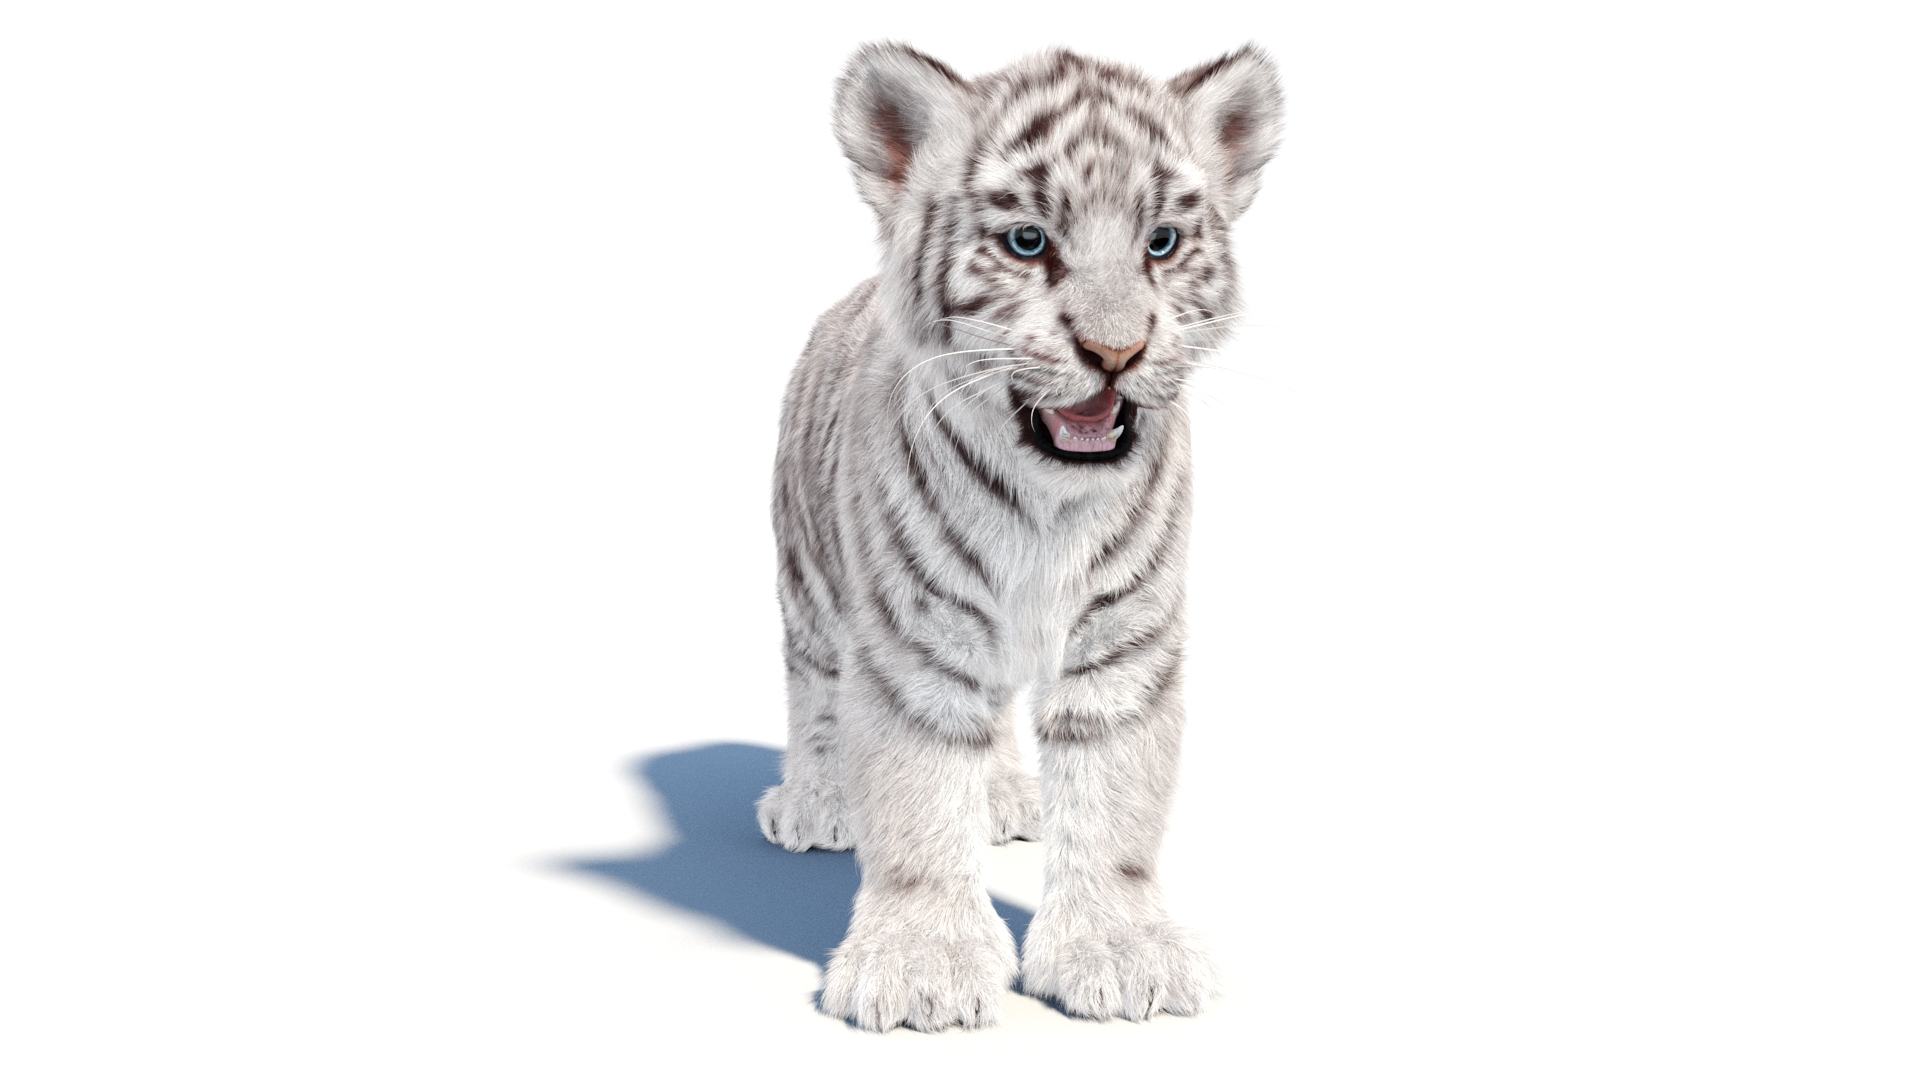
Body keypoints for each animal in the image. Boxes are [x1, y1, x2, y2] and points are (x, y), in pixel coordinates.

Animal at [755, 42, 1283, 1032]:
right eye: (1028, 243)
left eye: (1162, 242)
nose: (1115, 353)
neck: (1049, 508)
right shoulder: (913, 639)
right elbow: (917, 794)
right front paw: (921, 969)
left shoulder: (1124, 644)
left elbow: (1114, 804)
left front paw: (1120, 954)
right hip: (808, 580)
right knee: (813, 690)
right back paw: (815, 802)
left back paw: (1003, 794)